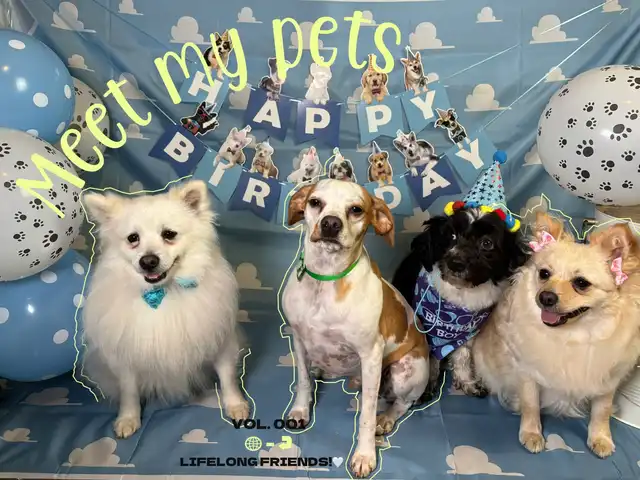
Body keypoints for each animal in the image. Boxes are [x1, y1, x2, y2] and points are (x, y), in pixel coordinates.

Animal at [81, 180, 250, 439]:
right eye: (133, 238)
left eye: (169, 234)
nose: (148, 261)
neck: (162, 294)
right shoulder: (126, 354)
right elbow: (129, 390)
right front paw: (128, 418)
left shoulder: (220, 339)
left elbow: (227, 376)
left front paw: (235, 404)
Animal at [283, 179, 429, 478]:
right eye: (315, 202)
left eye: (356, 209)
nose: (330, 223)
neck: (326, 278)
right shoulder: (299, 341)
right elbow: (303, 381)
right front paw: (301, 410)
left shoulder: (370, 356)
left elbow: (367, 415)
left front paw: (364, 455)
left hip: (405, 371)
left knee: (403, 403)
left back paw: (386, 419)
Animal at [392, 206, 529, 398]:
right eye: (451, 235)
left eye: (487, 243)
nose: (455, 263)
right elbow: (430, 357)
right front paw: (426, 386)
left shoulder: (468, 331)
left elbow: (462, 356)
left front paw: (467, 381)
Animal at [472, 213, 640, 458]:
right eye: (544, 274)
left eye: (581, 283)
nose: (545, 297)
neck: (573, 336)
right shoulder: (527, 372)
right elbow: (531, 404)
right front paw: (532, 434)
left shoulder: (608, 379)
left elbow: (602, 410)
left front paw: (600, 438)